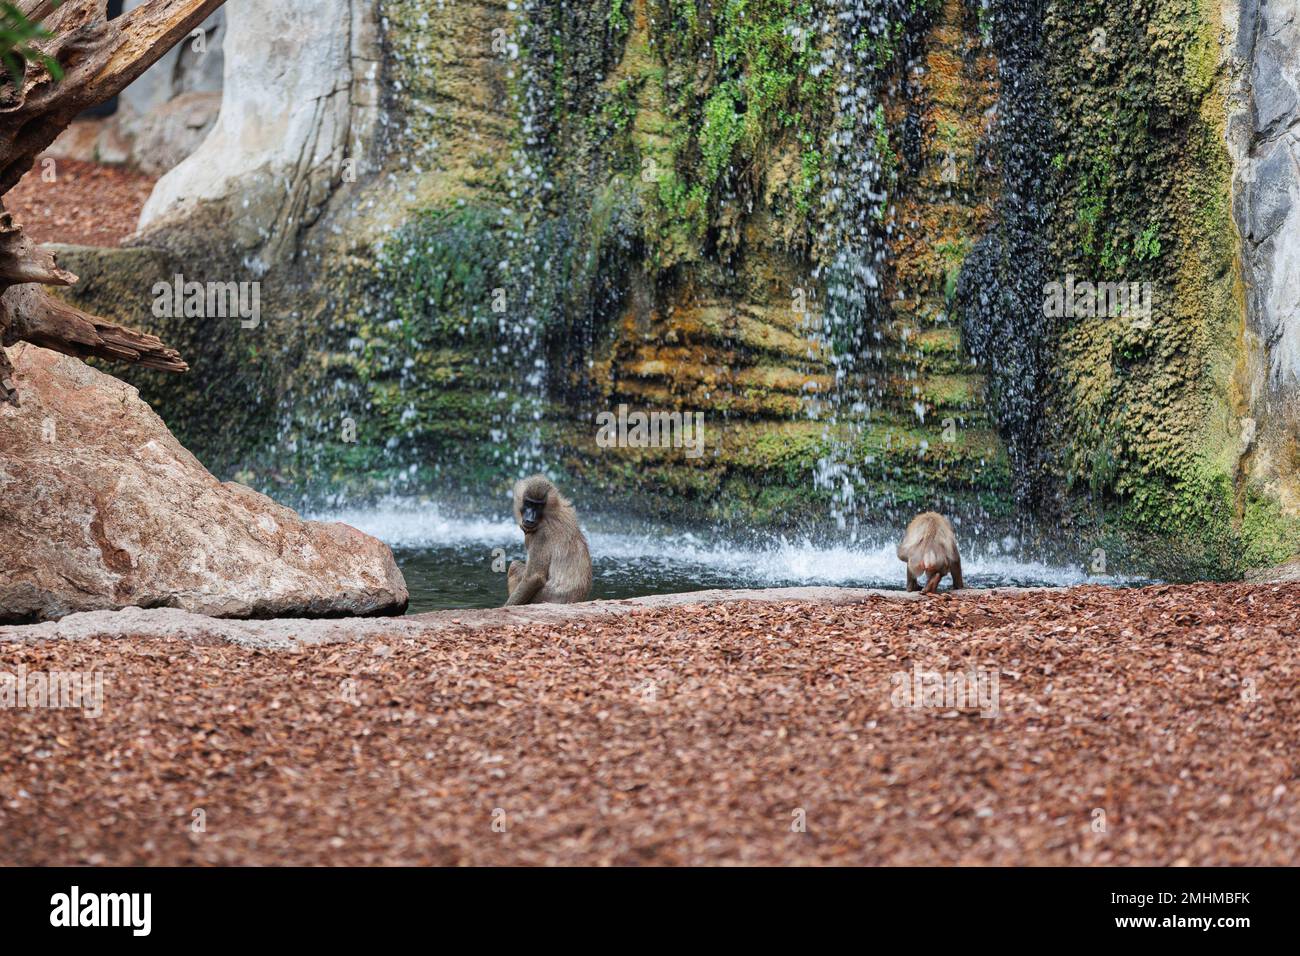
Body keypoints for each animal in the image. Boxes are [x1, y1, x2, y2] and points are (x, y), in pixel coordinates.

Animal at [504, 474, 592, 606]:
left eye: (538, 506)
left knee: (514, 566)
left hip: (542, 598)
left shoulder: (541, 534)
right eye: (529, 503)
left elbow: (534, 578)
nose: (530, 519)